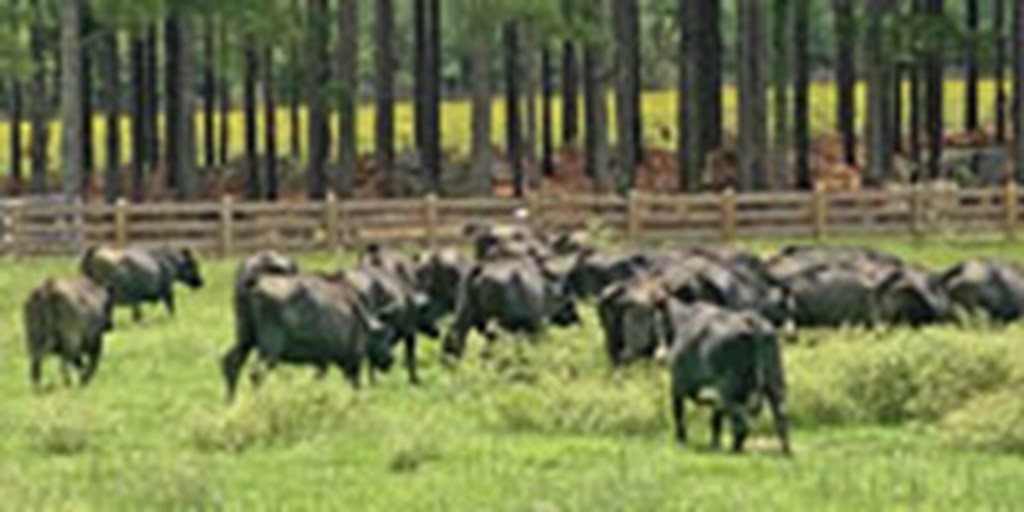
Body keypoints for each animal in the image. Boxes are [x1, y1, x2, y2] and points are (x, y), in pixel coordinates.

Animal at [664, 301, 791, 455]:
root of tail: (751, 320)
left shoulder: (678, 382)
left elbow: (679, 412)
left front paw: (681, 442)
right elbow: (715, 414)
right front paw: (714, 444)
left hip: (729, 384)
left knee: (740, 418)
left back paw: (735, 447)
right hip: (773, 376)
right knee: (780, 411)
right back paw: (785, 450)